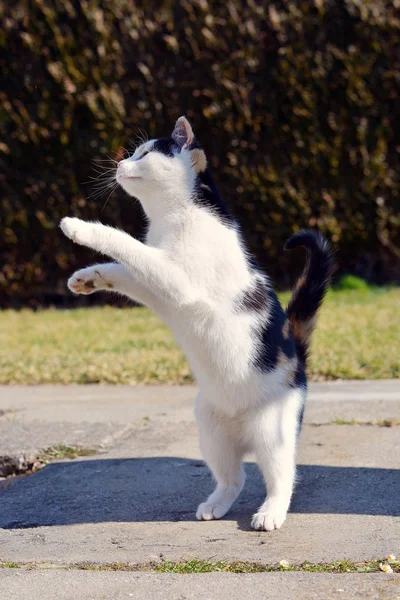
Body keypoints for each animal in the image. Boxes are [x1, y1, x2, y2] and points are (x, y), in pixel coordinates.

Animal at [60, 116, 334, 528]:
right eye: (134, 153)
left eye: (145, 153)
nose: (120, 163)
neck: (174, 217)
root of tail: (297, 358)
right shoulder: (158, 291)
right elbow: (124, 269)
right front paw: (87, 278)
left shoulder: (177, 280)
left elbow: (127, 244)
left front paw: (80, 227)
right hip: (209, 430)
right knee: (234, 478)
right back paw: (216, 504)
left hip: (272, 432)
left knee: (282, 477)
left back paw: (270, 512)